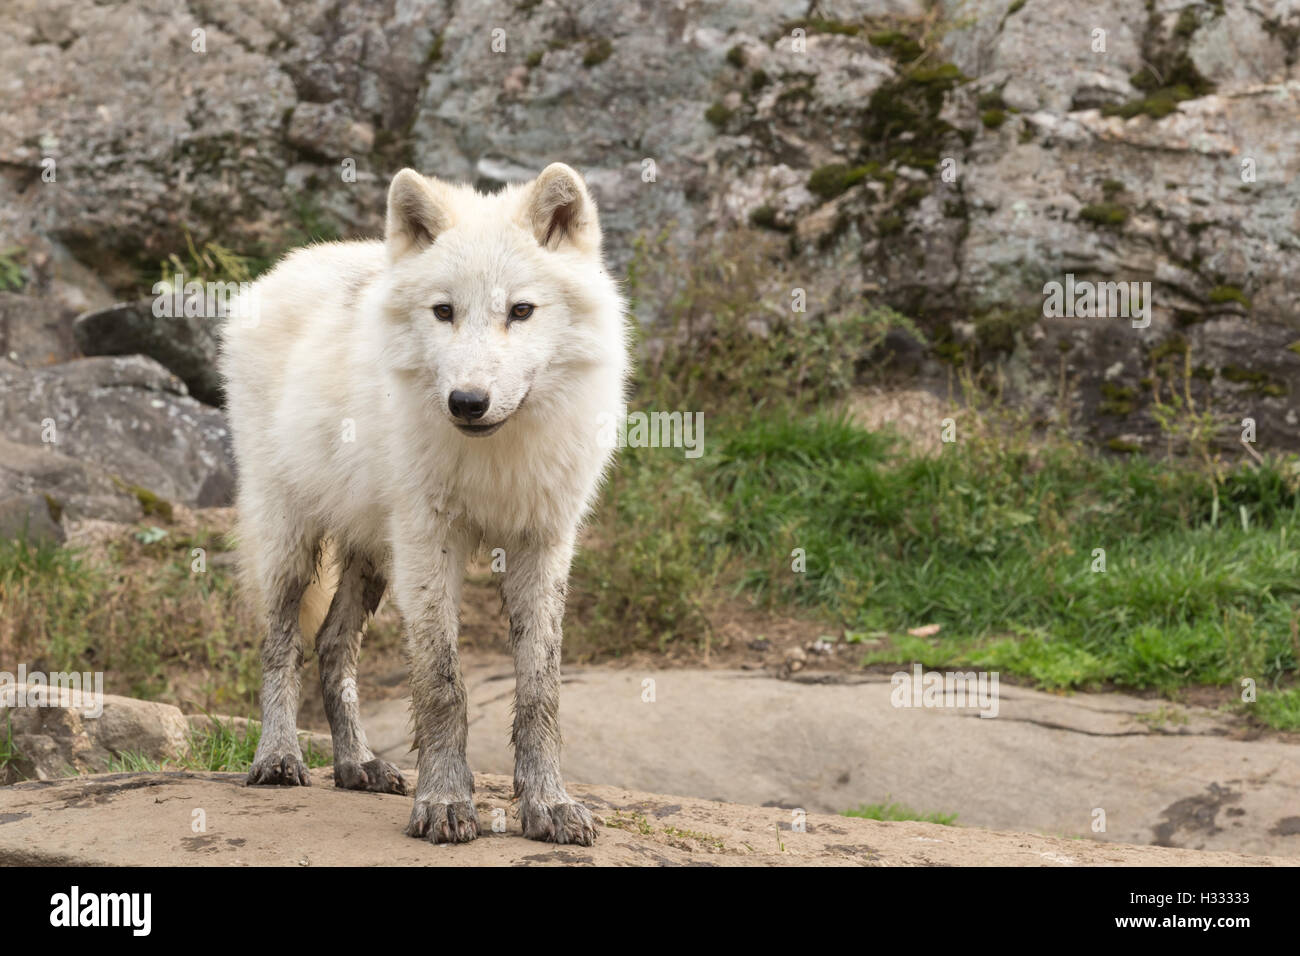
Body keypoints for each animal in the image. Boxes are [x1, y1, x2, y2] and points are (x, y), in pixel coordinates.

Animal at [218, 164, 628, 845]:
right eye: (444, 312)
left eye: (521, 311)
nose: (467, 401)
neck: (496, 456)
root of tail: (289, 265)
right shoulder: (430, 542)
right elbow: (442, 686)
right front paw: (444, 801)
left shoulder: (543, 543)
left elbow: (540, 689)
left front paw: (548, 805)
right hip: (292, 539)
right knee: (281, 645)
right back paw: (278, 758)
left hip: (373, 556)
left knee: (332, 644)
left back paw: (356, 765)